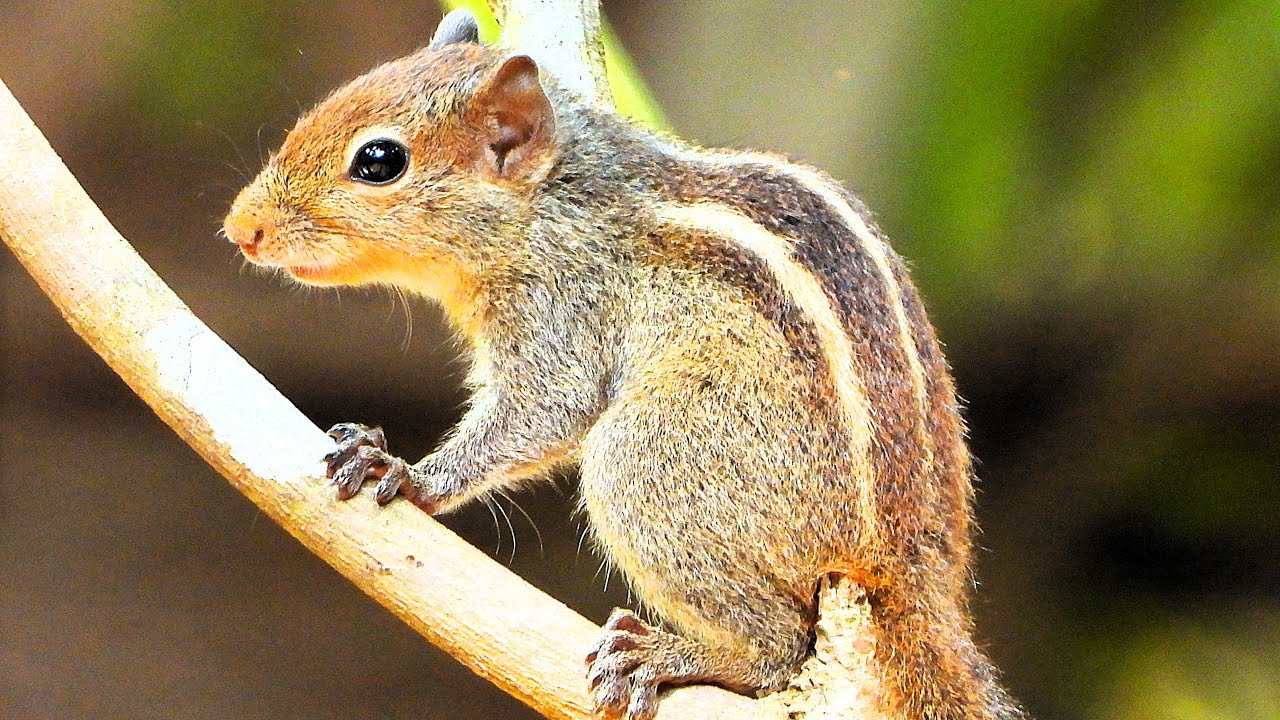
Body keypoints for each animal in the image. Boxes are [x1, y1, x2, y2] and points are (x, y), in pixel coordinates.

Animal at [223, 10, 1026, 720]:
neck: (555, 203)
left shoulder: (563, 314)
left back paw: (667, 657)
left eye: (379, 161)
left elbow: (545, 412)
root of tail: (910, 574)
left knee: (779, 650)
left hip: (653, 458)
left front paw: (407, 473)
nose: (240, 229)